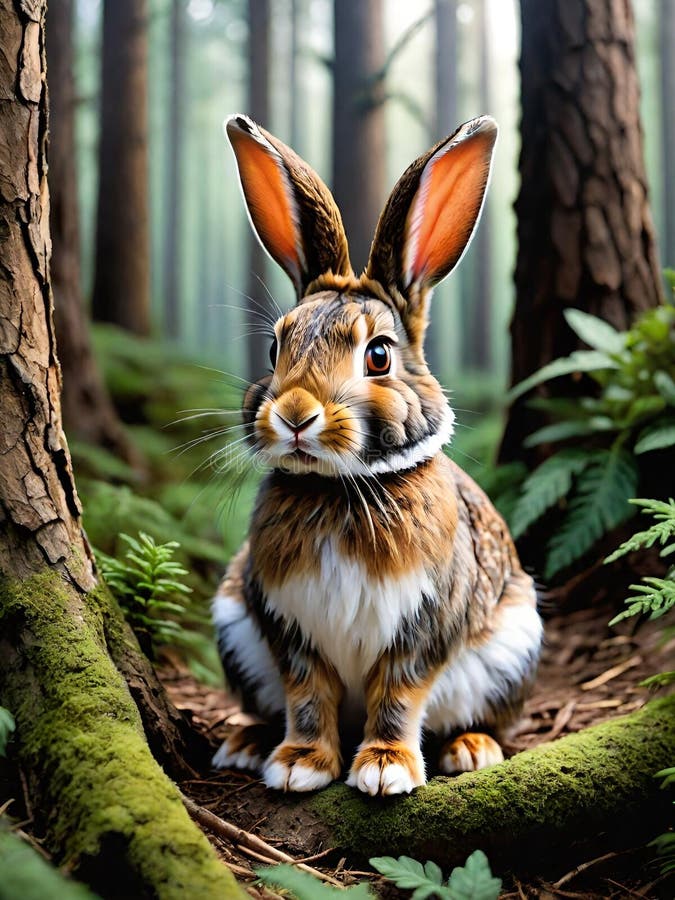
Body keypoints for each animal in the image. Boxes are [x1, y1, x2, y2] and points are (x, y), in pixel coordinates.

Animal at [212, 113, 543, 796]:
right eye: (274, 349)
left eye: (379, 356)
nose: (294, 414)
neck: (342, 486)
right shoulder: (289, 629)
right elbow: (307, 694)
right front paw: (298, 766)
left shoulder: (424, 626)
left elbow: (399, 692)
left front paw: (385, 770)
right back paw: (247, 744)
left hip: (513, 646)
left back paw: (472, 750)